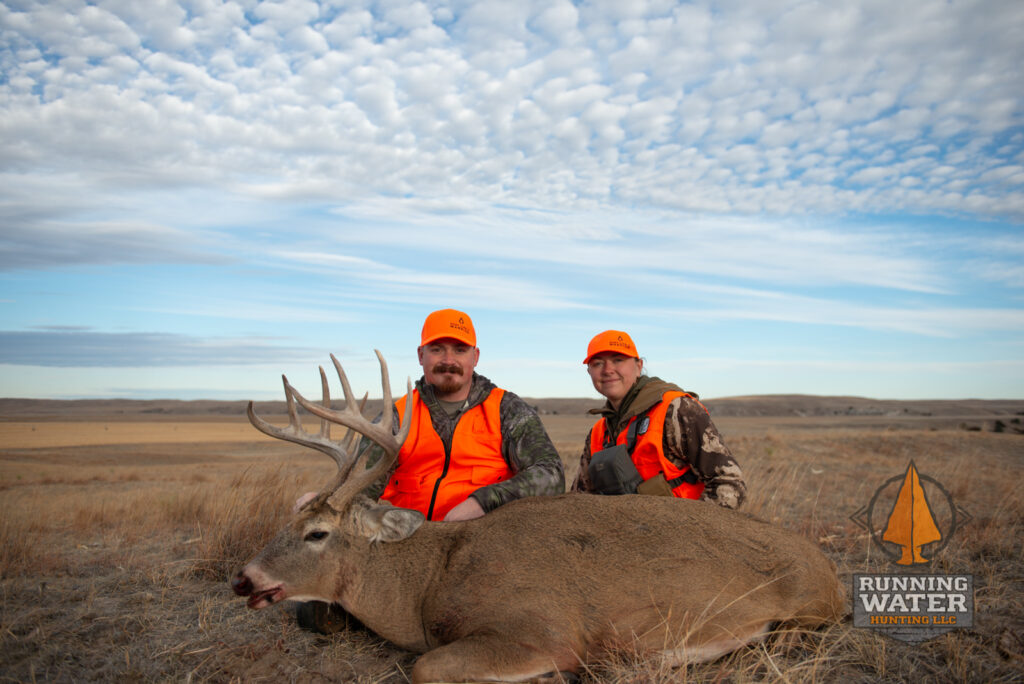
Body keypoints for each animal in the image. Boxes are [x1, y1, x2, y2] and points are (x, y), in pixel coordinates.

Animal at [230, 351, 845, 683]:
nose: (244, 579)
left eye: (317, 533)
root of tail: (832, 573)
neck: (429, 581)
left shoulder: (540, 630)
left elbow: (425, 667)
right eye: (287, 522)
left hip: (804, 612)